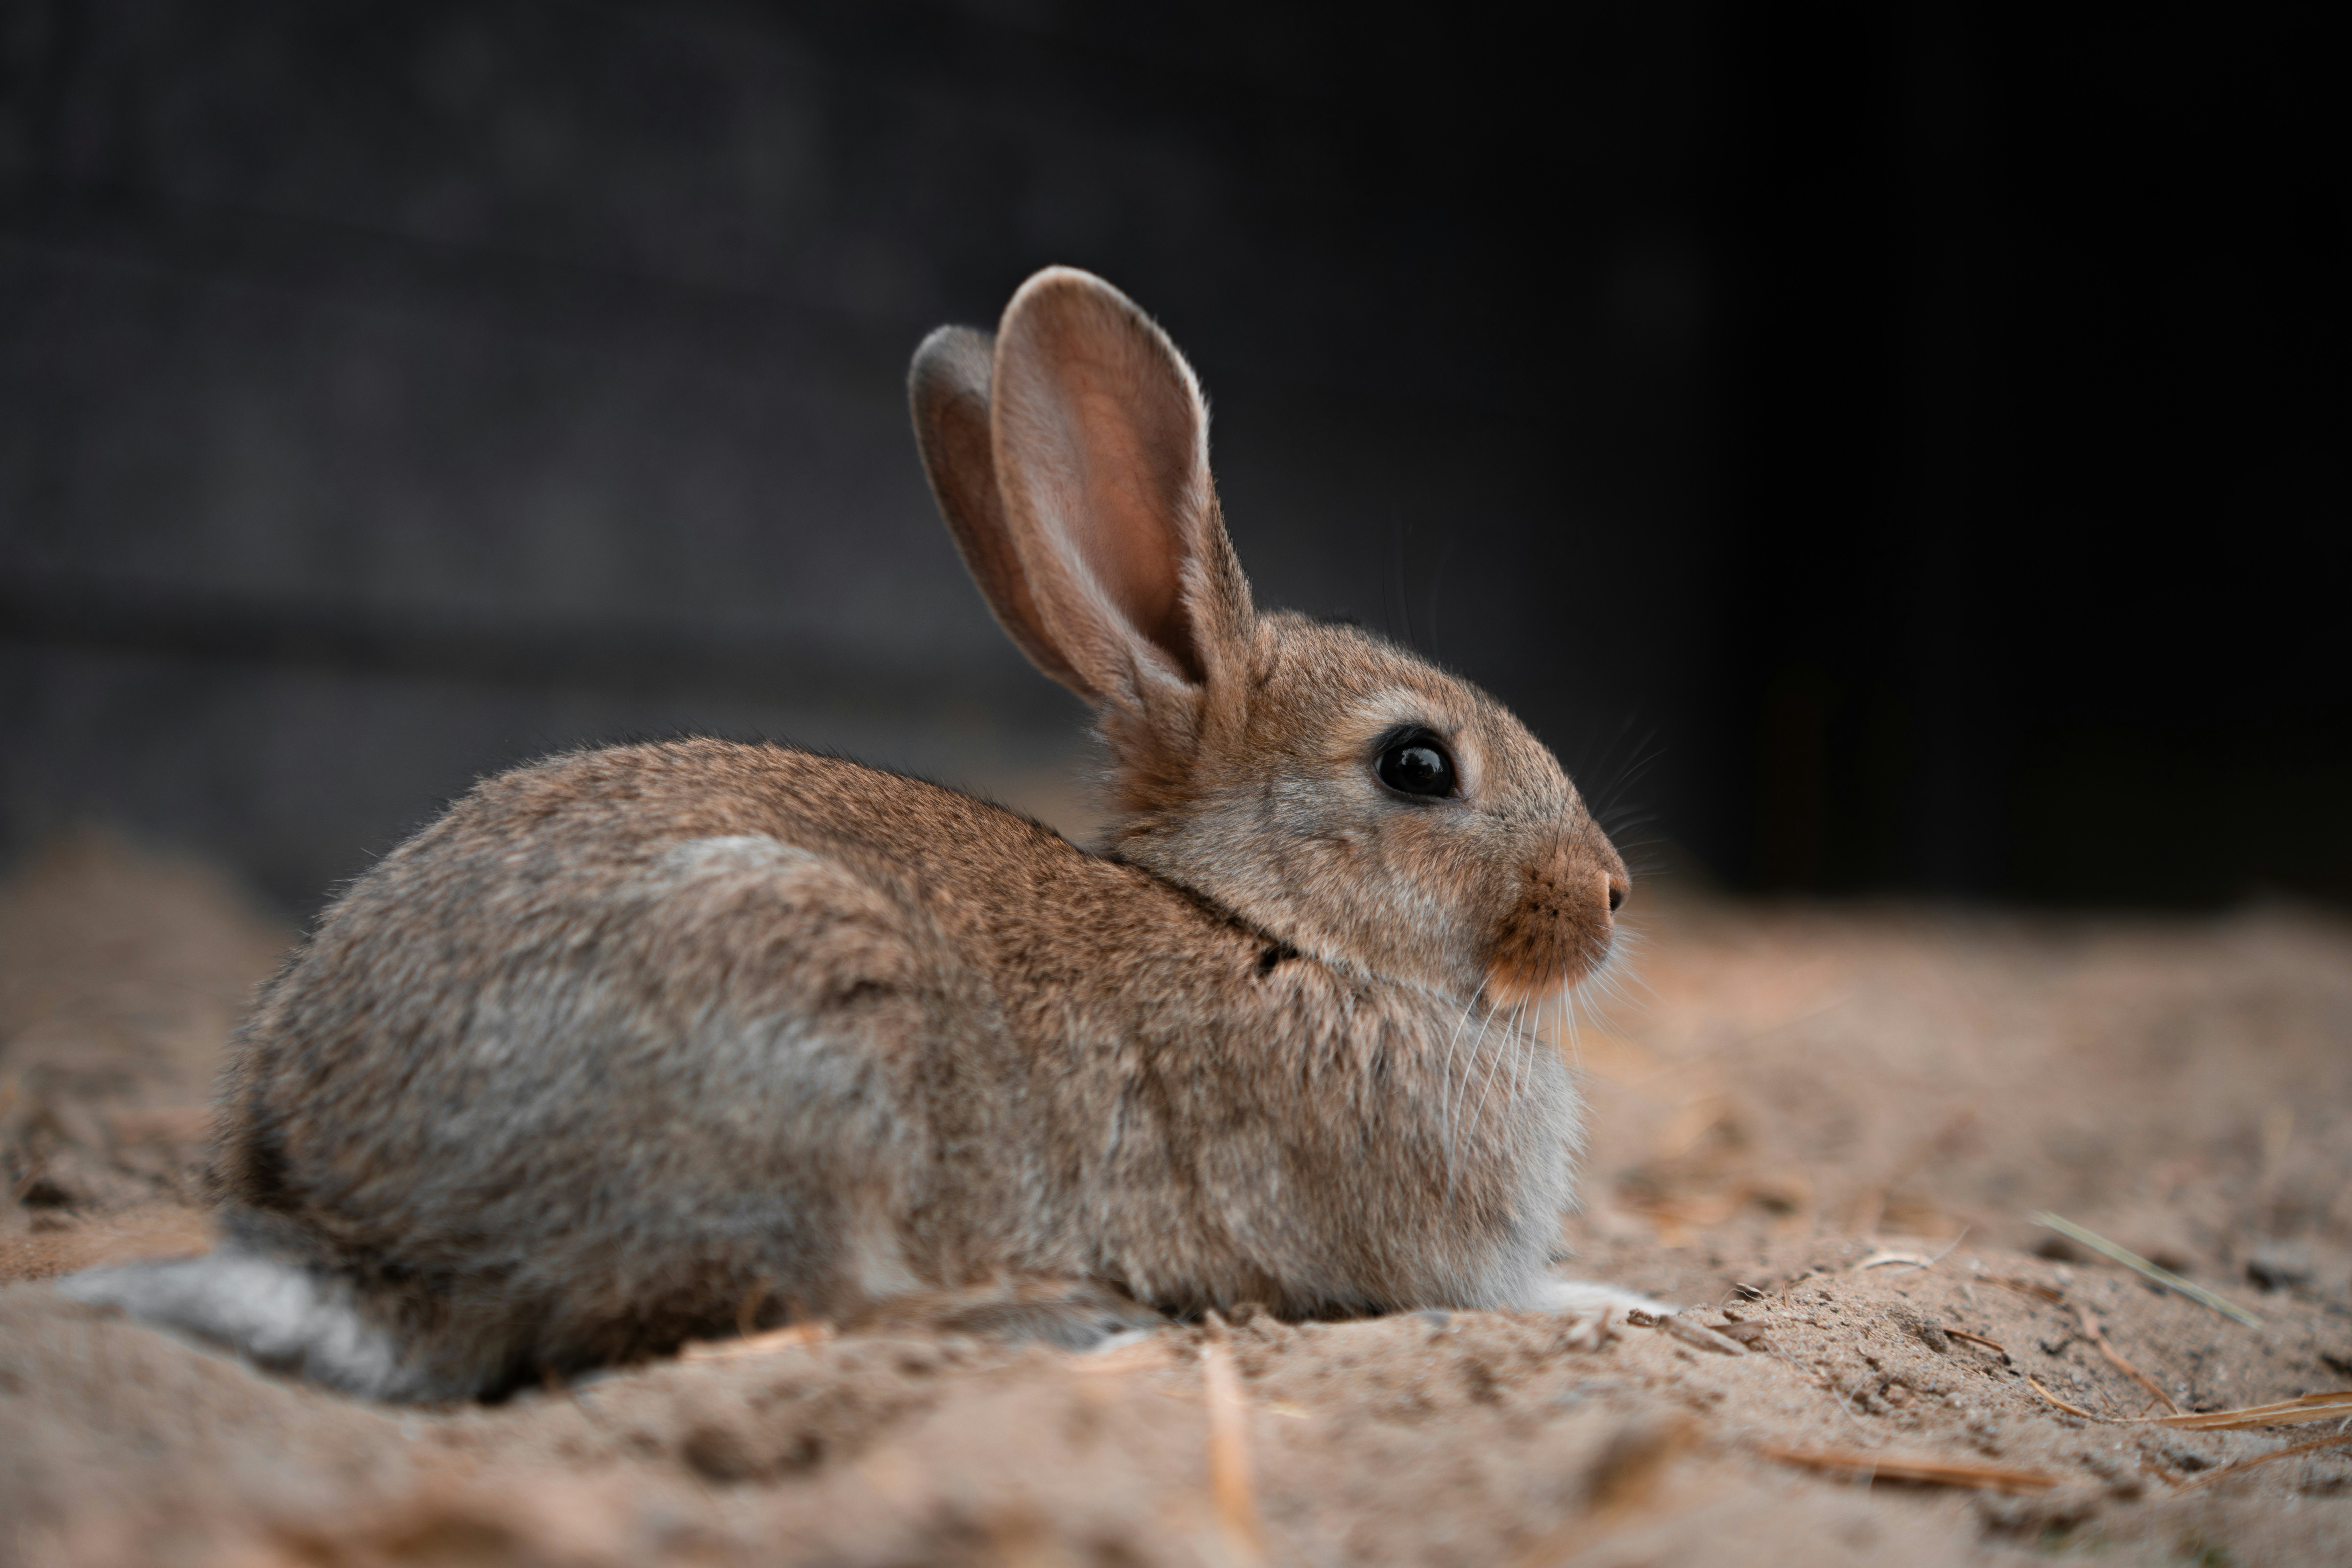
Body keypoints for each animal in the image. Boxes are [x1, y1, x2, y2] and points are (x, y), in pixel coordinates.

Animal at [60, 266, 1667, 1401]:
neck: (1274, 928)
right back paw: (1052, 1312)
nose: (1612, 894)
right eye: (1417, 766)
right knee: (793, 1306)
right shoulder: (1417, 1251)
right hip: (806, 1034)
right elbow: (1494, 1293)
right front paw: (1623, 1299)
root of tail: (370, 1233)